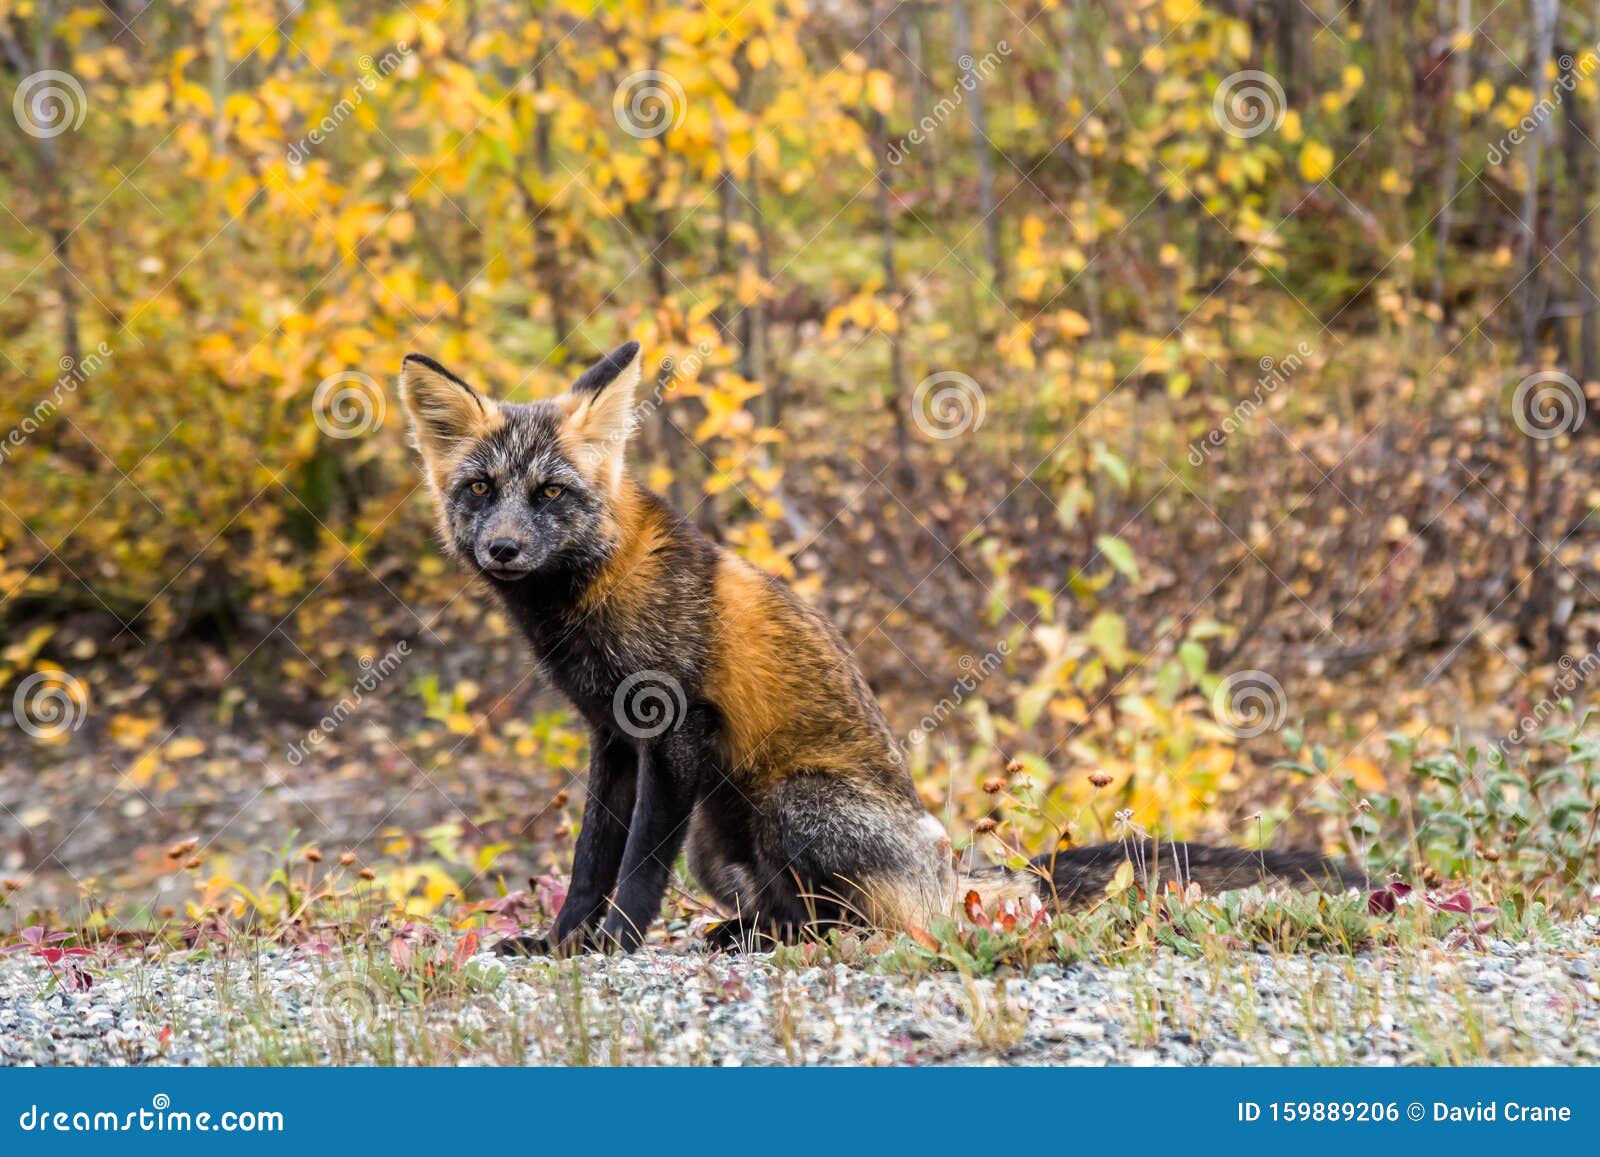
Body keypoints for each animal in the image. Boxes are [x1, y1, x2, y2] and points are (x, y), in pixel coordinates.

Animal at [398, 341, 1360, 953]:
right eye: (480, 489)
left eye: (550, 493)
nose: (503, 549)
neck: (599, 596)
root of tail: (953, 870)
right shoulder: (612, 740)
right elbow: (589, 862)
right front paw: (563, 943)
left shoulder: (674, 735)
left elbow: (633, 872)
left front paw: (614, 946)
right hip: (718, 838)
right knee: (800, 916)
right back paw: (743, 934)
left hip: (792, 802)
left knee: (868, 925)